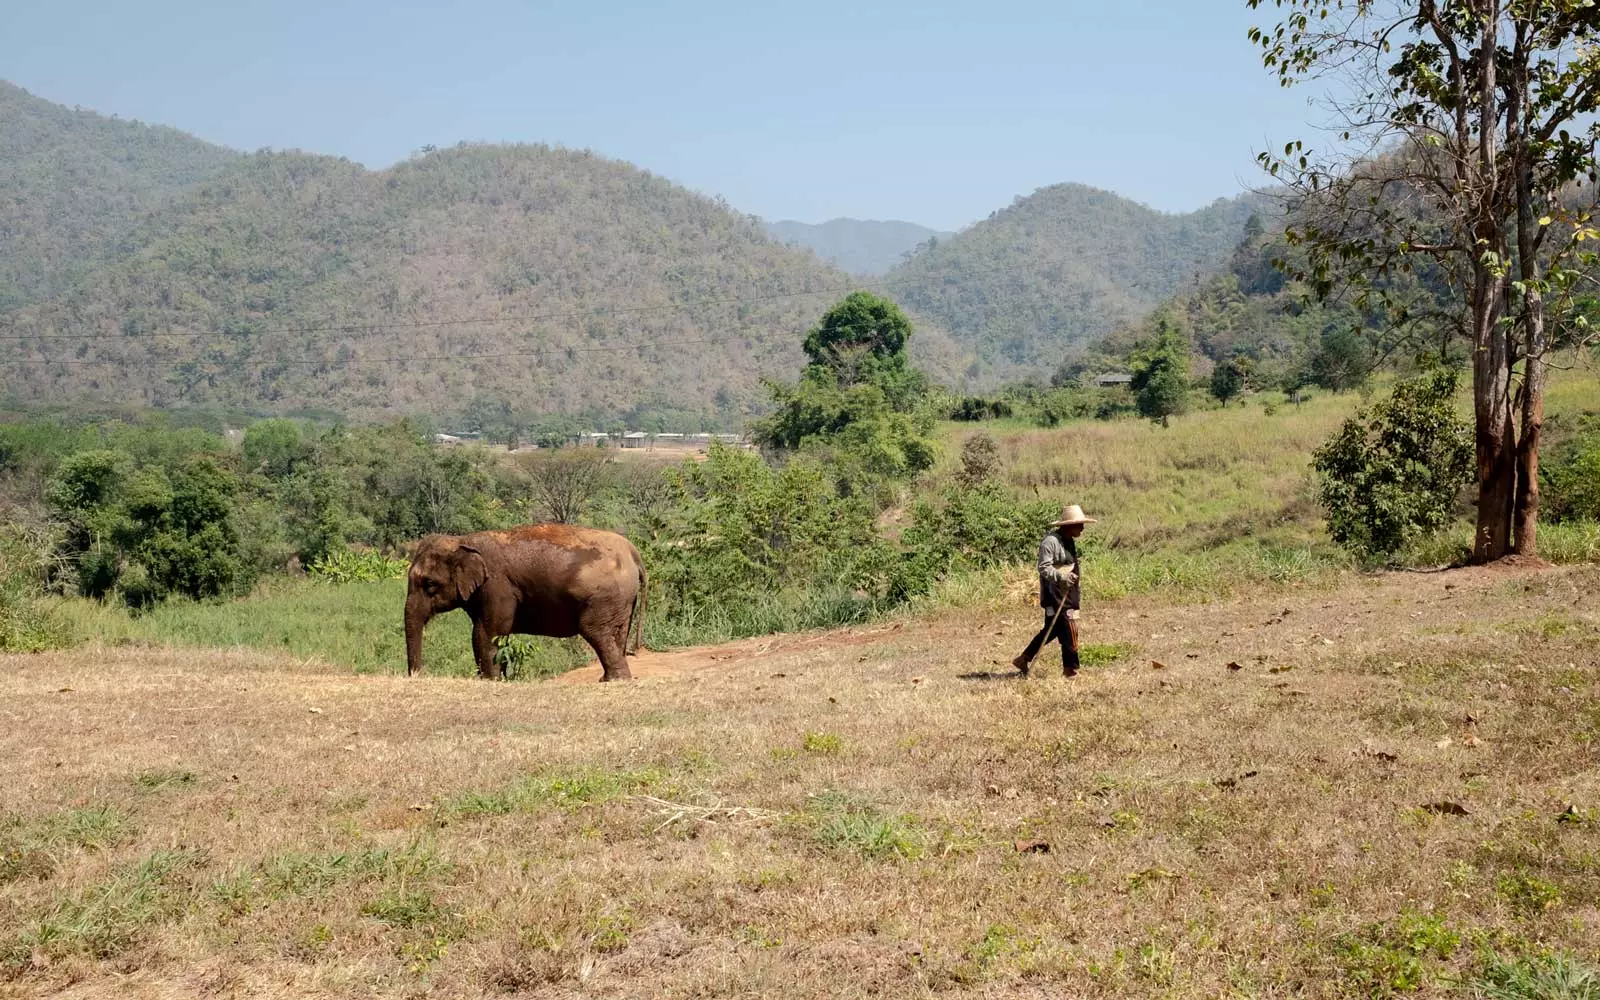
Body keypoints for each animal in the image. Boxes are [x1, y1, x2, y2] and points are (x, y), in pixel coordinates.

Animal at [403, 521, 646, 678]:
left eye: (429, 584)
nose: (420, 674)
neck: (462, 540)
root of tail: (633, 553)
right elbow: (497, 636)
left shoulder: (497, 586)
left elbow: (486, 634)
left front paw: (490, 680)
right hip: (621, 600)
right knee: (617, 633)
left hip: (604, 598)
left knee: (595, 631)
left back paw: (615, 679)